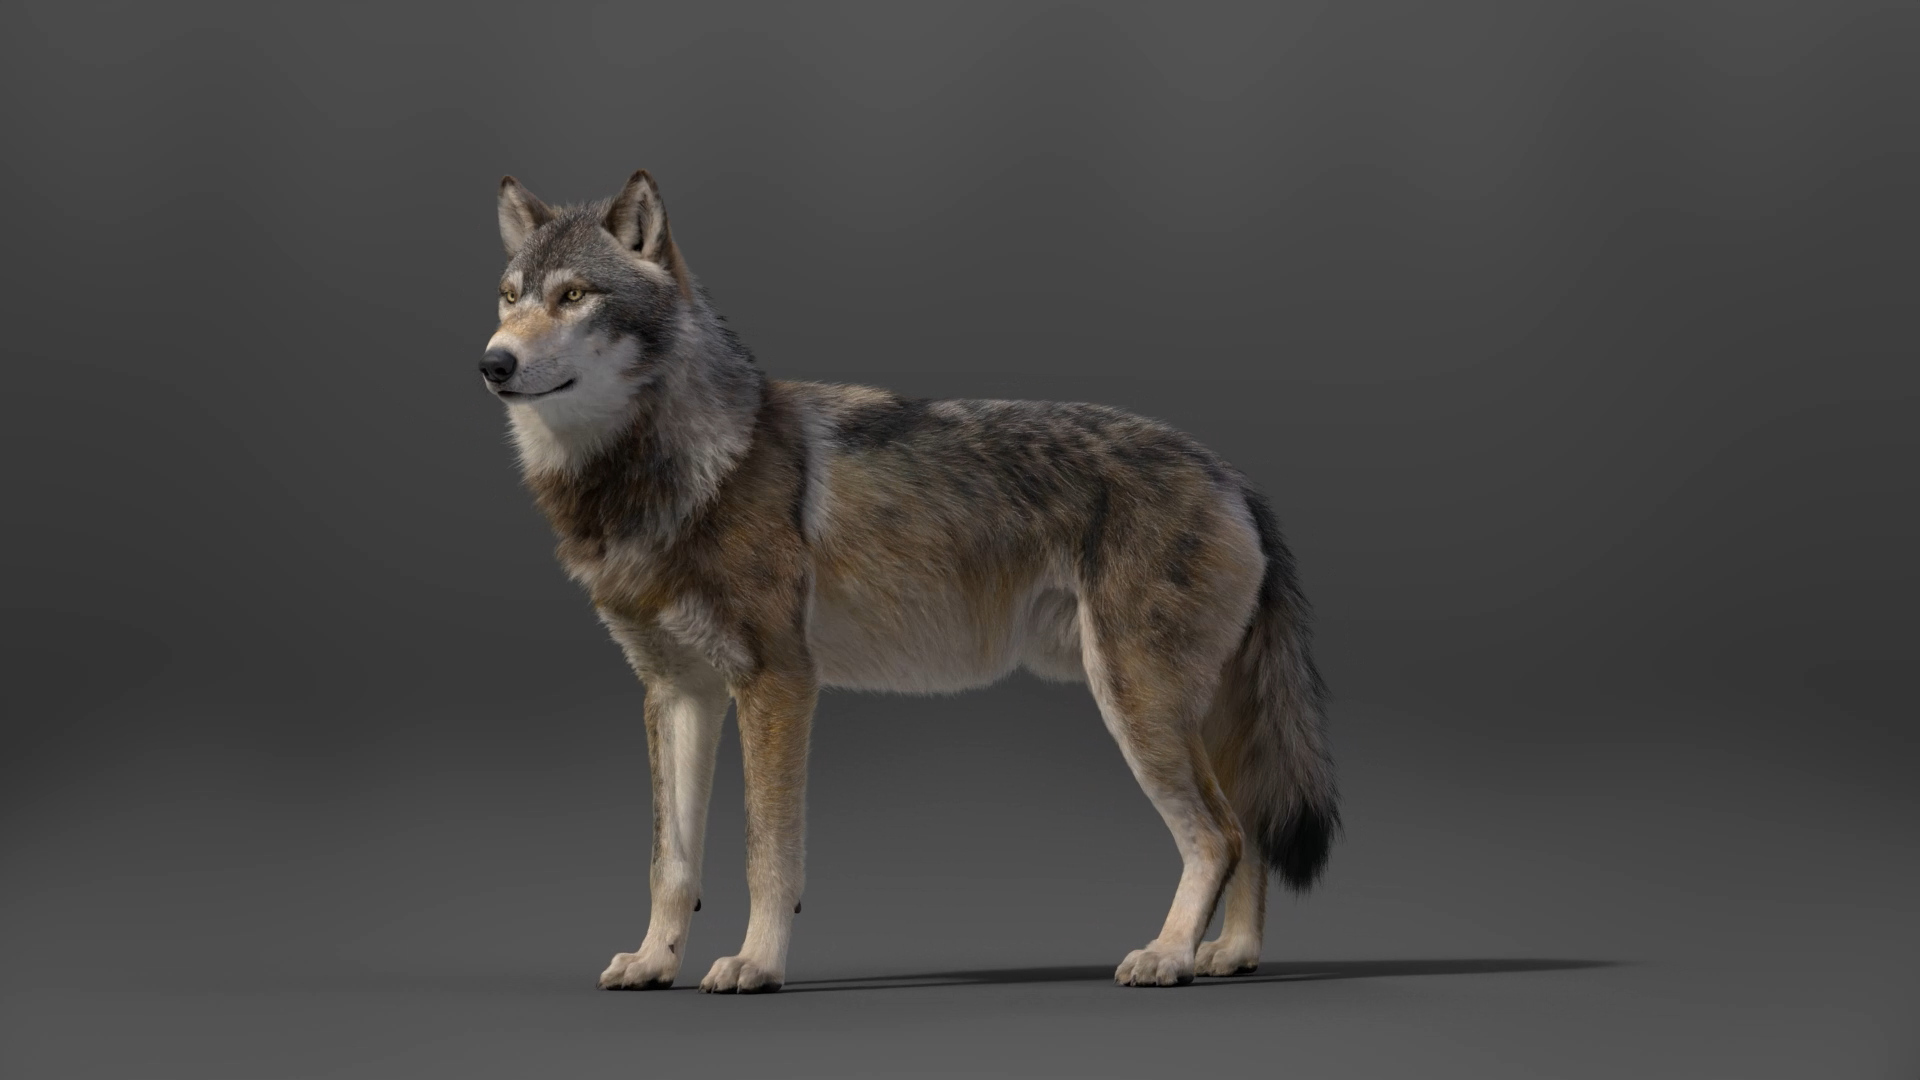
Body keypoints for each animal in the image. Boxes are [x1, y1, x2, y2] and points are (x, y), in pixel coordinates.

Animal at [480, 169, 1339, 993]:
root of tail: (1231, 475)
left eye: (575, 296)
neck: (676, 472)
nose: (493, 362)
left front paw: (757, 965)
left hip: (1137, 705)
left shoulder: (778, 682)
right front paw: (654, 962)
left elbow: (768, 853)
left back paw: (1168, 955)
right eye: (511, 295)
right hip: (1197, 717)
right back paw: (1229, 955)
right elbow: (672, 862)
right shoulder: (678, 692)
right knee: (1250, 831)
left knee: (1220, 835)